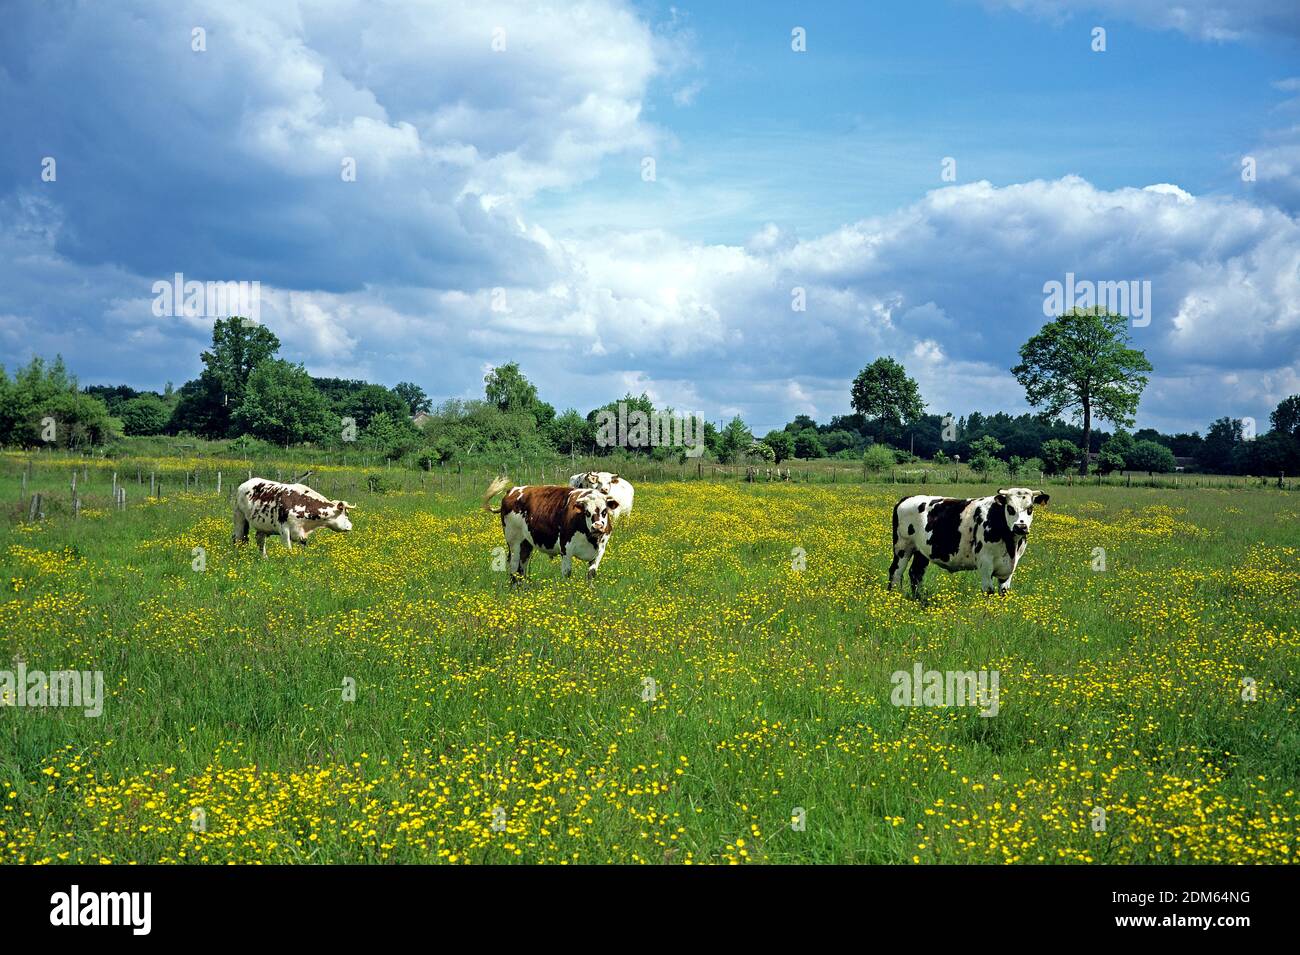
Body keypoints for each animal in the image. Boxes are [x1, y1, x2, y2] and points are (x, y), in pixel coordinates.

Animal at [485, 476, 618, 582]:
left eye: (605, 511)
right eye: (587, 512)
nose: (597, 526)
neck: (591, 539)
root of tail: (512, 490)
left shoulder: (600, 550)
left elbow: (591, 573)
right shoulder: (566, 549)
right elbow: (567, 573)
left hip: (526, 543)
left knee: (522, 566)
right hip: (514, 542)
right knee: (514, 567)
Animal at [889, 487, 1049, 595]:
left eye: (1030, 508)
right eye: (1010, 508)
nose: (1020, 527)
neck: (1011, 545)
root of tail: (908, 498)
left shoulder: (1010, 567)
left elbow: (1003, 592)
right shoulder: (985, 563)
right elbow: (988, 591)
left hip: (921, 551)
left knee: (916, 573)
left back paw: (919, 598)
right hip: (903, 547)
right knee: (896, 572)